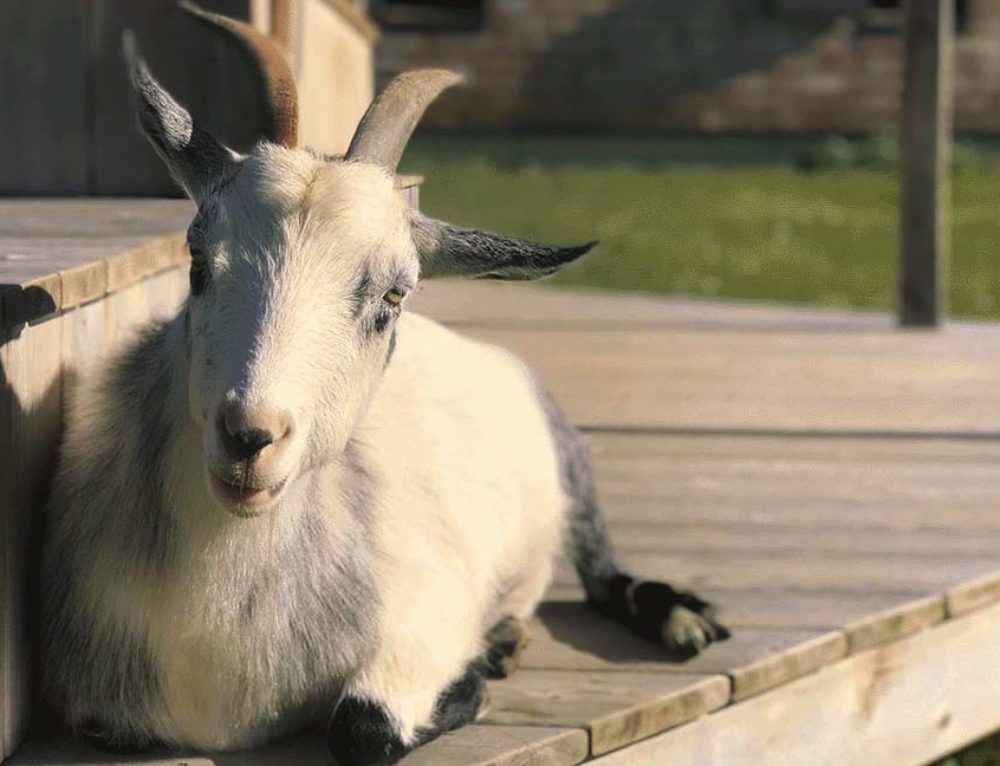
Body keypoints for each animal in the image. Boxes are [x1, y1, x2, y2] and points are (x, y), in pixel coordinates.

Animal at [41, 6, 729, 764]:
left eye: (394, 294)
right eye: (197, 259)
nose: (250, 438)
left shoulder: (425, 617)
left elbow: (364, 727)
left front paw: (475, 676)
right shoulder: (98, 702)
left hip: (566, 458)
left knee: (600, 567)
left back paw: (673, 619)